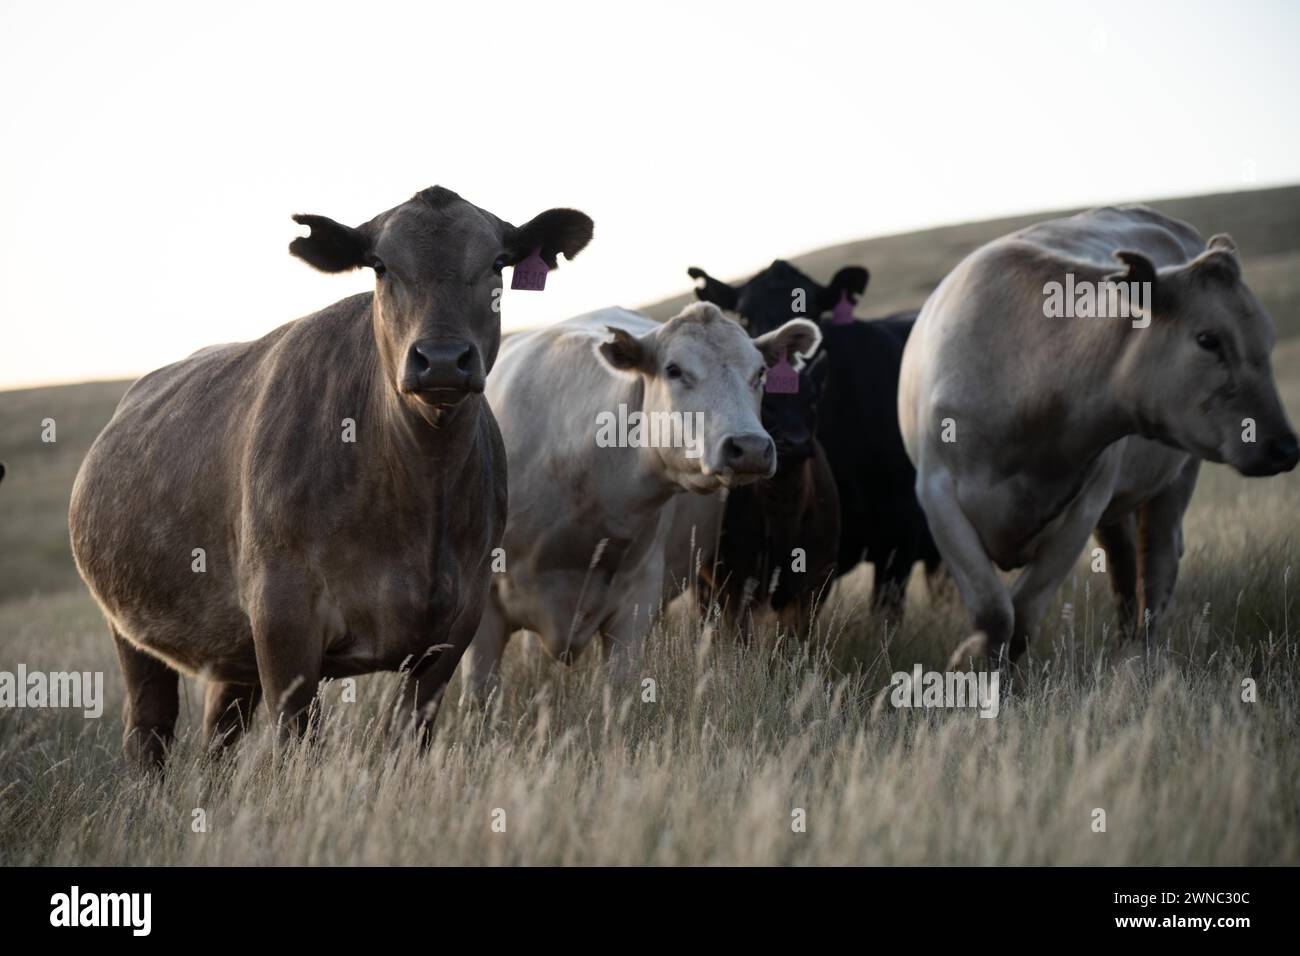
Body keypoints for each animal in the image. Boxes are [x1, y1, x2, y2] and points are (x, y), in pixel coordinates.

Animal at [68, 186, 594, 768]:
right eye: (380, 266)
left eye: (499, 262)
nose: (441, 360)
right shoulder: (283, 618)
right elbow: (300, 742)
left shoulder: (456, 622)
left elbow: (408, 734)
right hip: (130, 628)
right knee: (149, 729)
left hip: (231, 651)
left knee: (219, 736)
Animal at [898, 205, 1299, 670]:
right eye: (1208, 339)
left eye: (1267, 340)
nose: (1285, 447)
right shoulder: (936, 494)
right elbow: (994, 611)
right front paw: (970, 661)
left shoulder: (1083, 508)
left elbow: (1021, 617)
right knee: (1124, 568)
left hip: (1175, 479)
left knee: (1155, 566)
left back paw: (1139, 659)